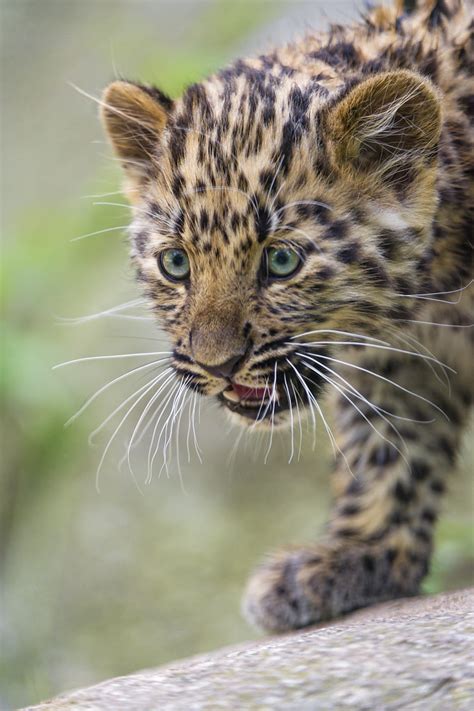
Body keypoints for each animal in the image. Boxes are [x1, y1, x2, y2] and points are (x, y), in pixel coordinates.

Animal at [99, 0, 473, 633]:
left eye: (281, 260)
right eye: (175, 263)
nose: (217, 366)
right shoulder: (398, 358)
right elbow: (389, 449)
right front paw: (354, 554)